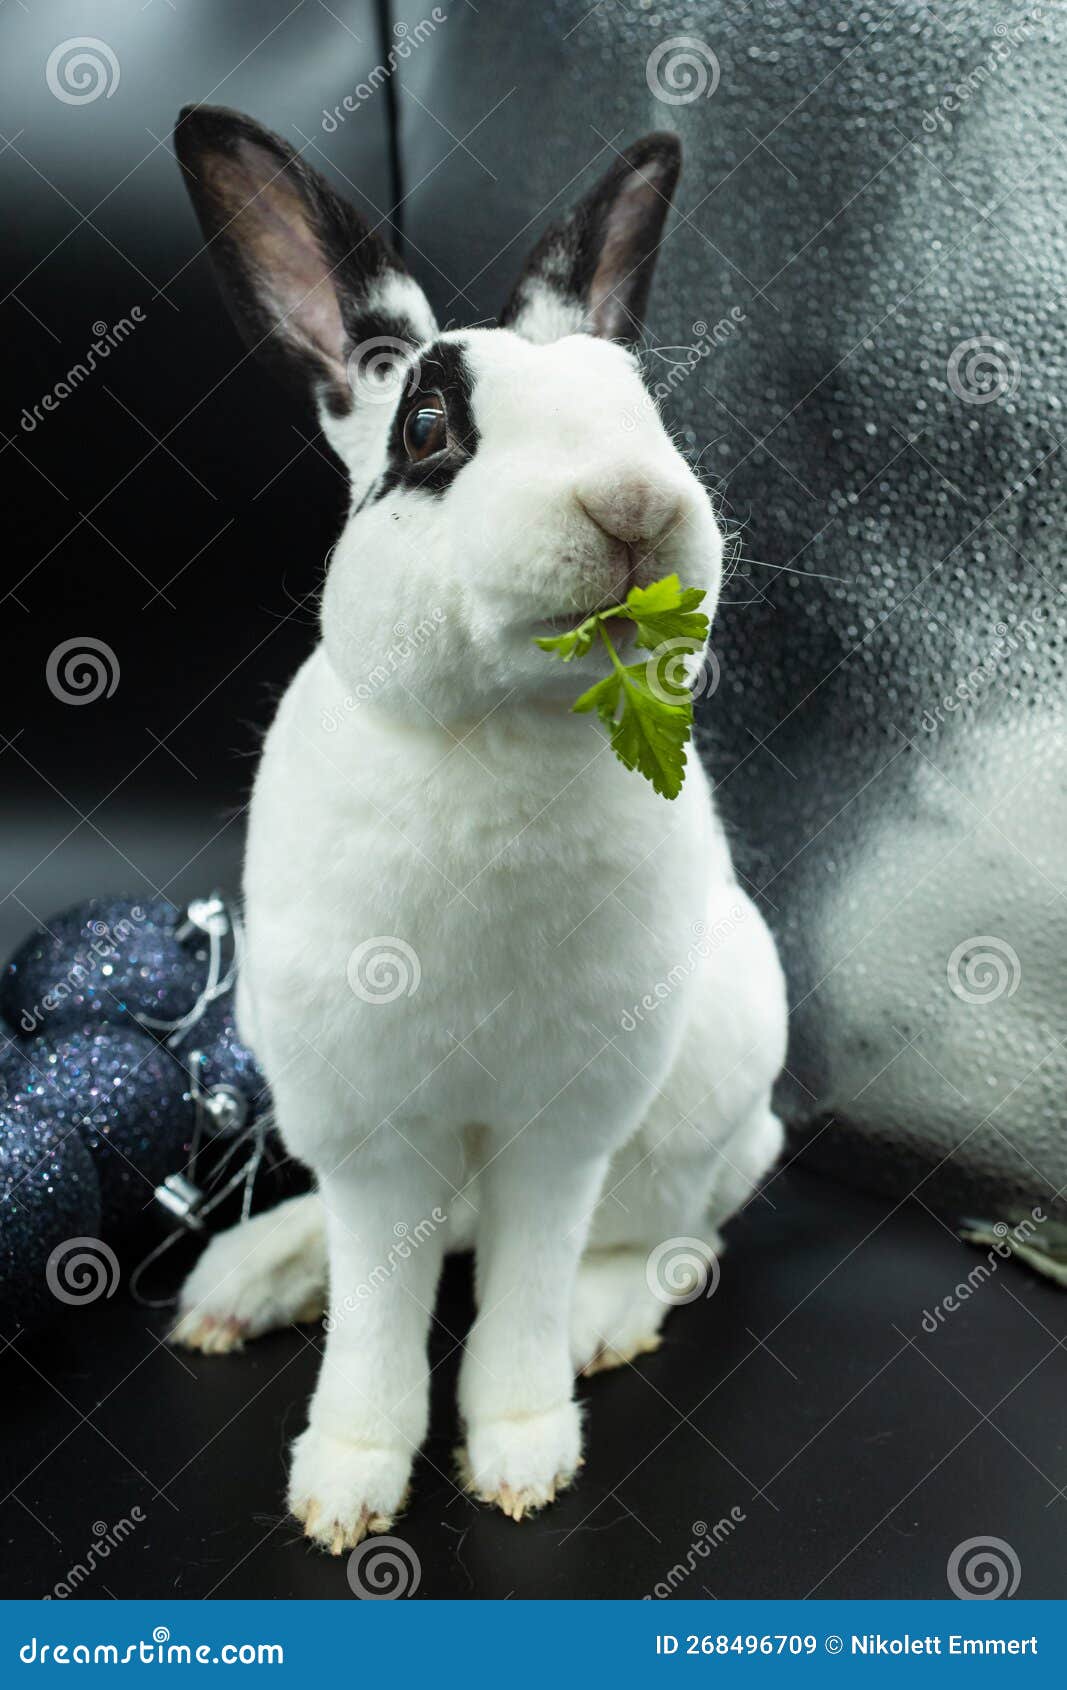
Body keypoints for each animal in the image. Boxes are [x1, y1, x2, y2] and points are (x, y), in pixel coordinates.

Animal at [169, 104, 788, 1554]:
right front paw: (344, 1484)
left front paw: (518, 1453)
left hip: (710, 1099)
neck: (502, 736)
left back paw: (601, 1321)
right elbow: (383, 1308)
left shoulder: (562, 1128)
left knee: (685, 1231)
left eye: (644, 409)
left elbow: (519, 1296)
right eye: (430, 423)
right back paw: (248, 1277)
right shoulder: (369, 1131)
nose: (631, 501)